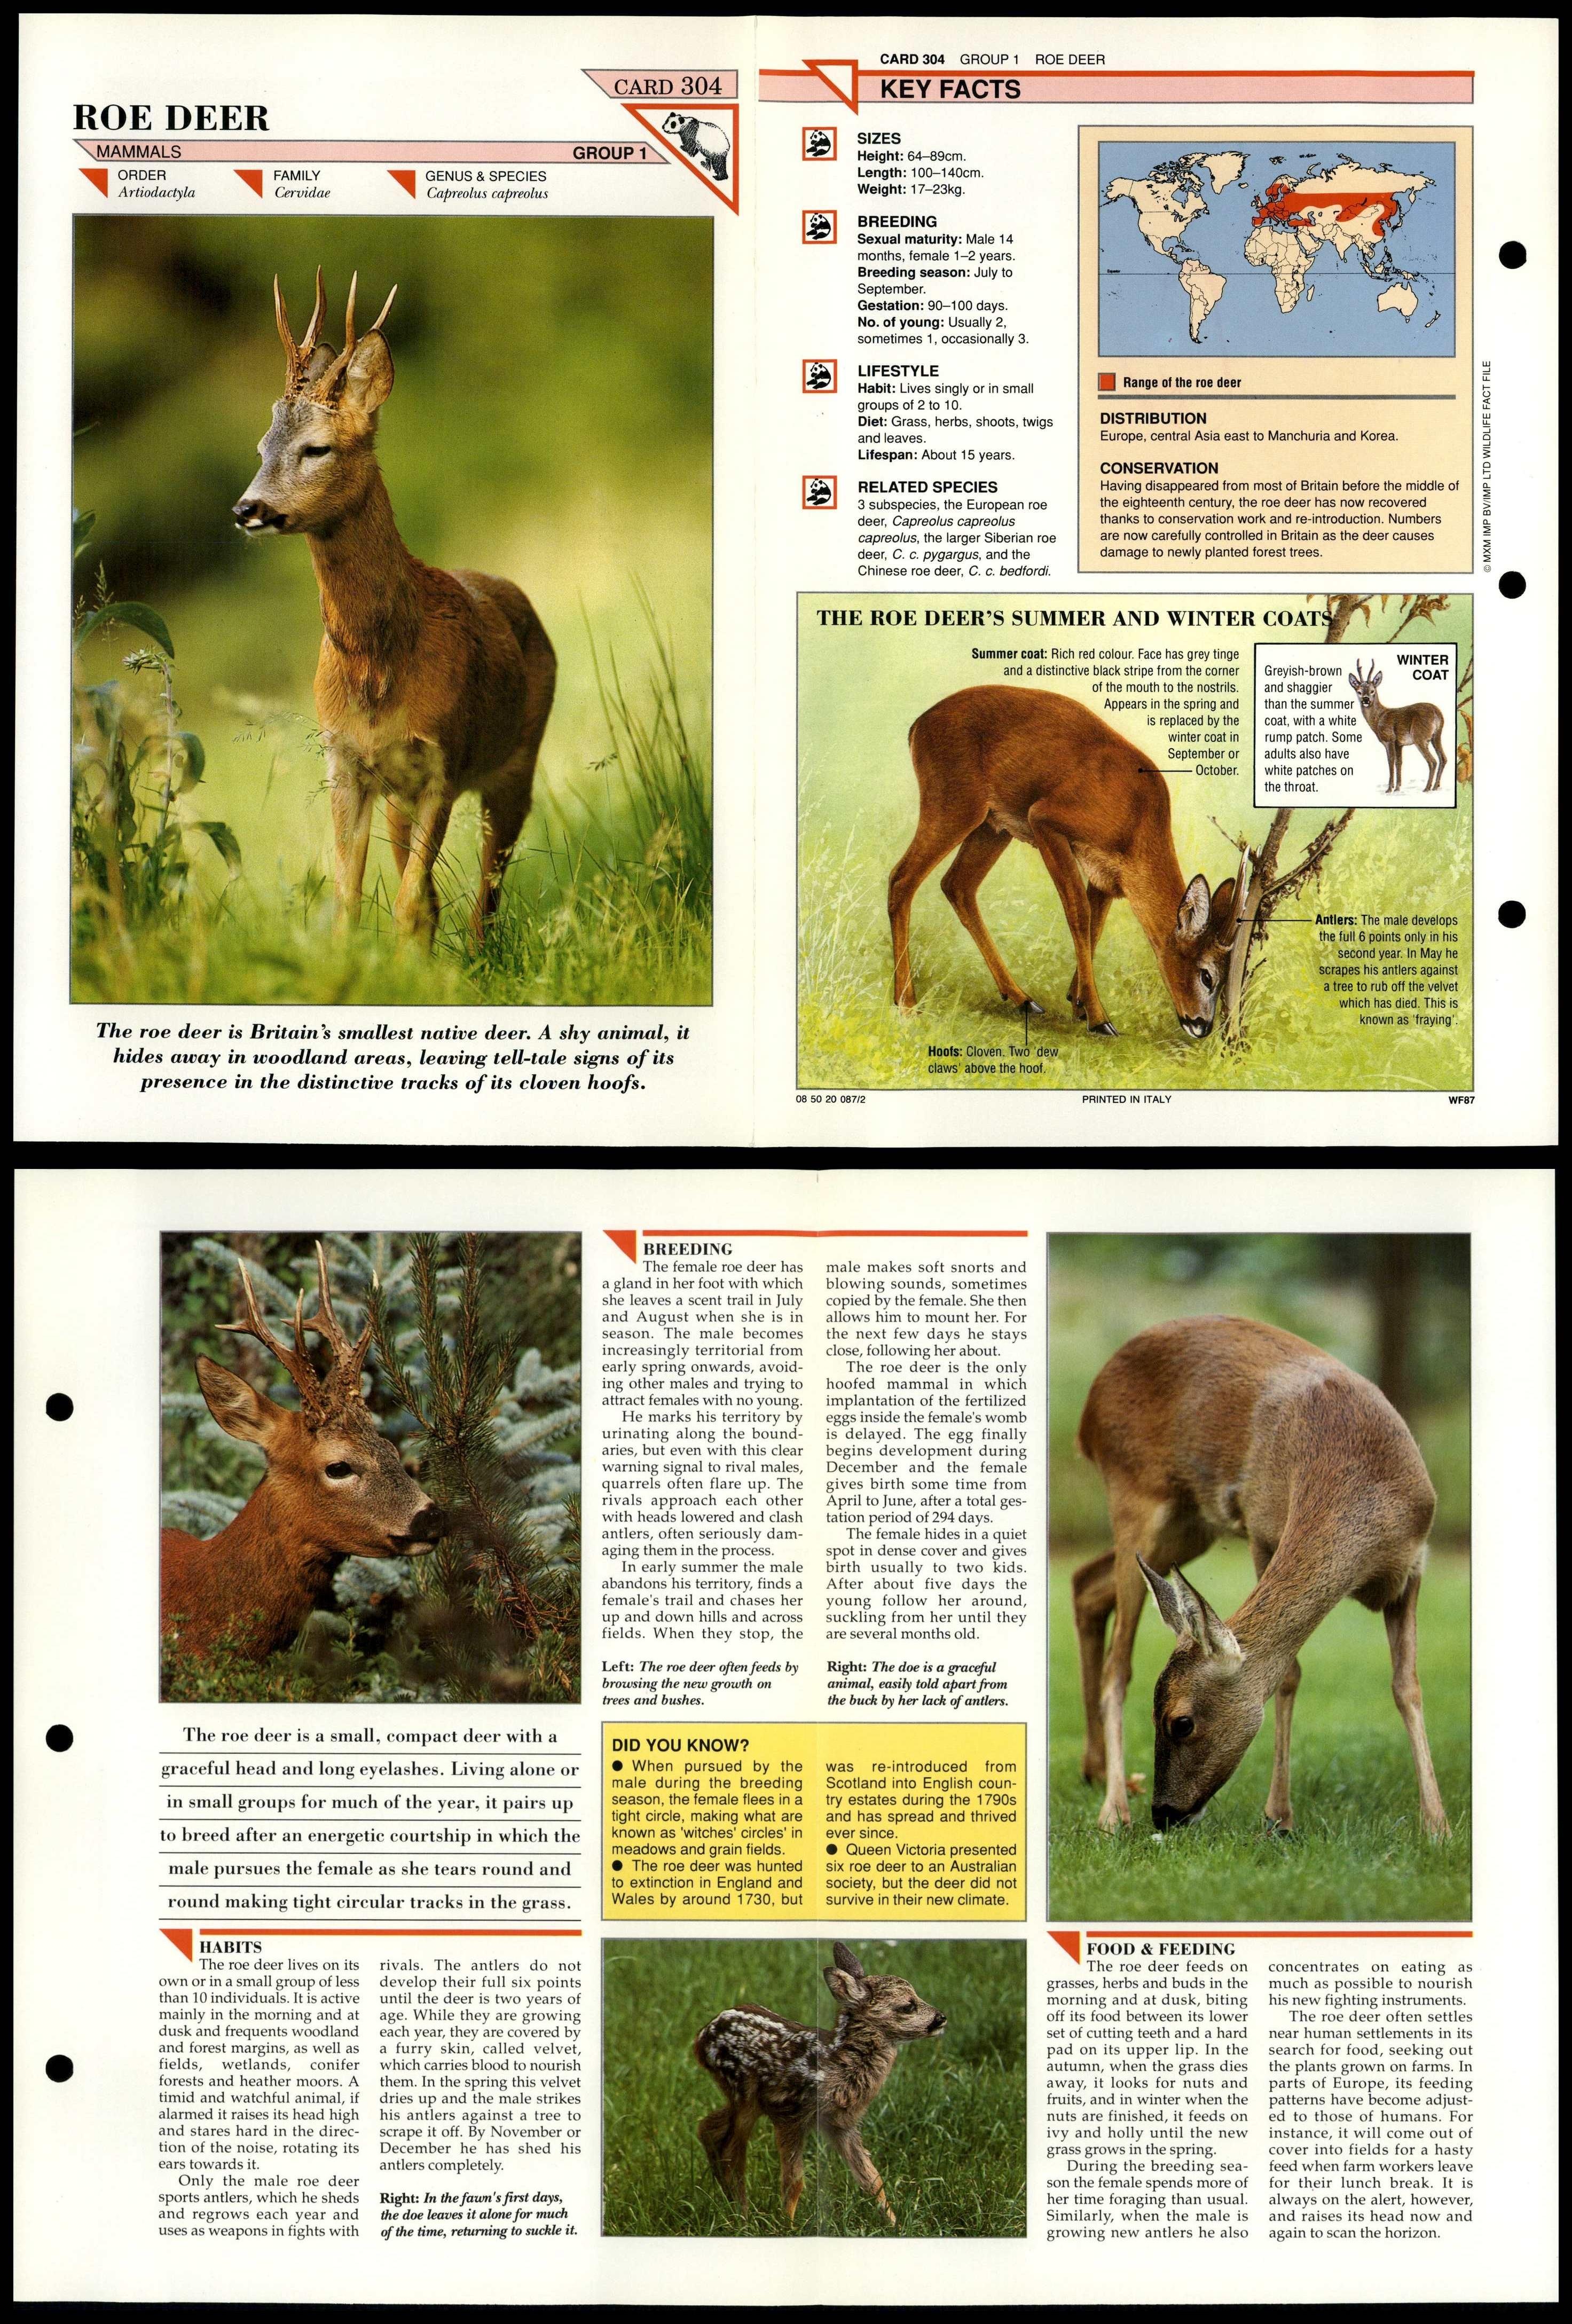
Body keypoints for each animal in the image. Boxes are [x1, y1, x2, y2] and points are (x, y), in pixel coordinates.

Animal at [233, 268, 556, 945]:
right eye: (261, 446)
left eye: (318, 448)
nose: (247, 508)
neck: (377, 667)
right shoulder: (348, 764)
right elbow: (351, 901)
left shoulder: (443, 760)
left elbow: (409, 903)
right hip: (399, 798)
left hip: (517, 761)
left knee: (487, 890)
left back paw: (478, 956)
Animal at [694, 1942, 946, 2229]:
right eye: (907, 2006)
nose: (941, 2018)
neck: (838, 2066)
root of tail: (700, 2039)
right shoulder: (789, 2113)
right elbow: (794, 2182)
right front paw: (787, 2228)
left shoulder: (843, 2124)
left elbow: (873, 2180)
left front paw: (896, 2226)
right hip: (743, 2093)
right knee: (731, 2151)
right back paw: (743, 2218)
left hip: (743, 2100)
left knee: (708, 2128)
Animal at [889, 684, 1245, 1037]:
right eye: (1207, 975)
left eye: (1227, 975)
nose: (1202, 1025)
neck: (1137, 824)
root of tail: (916, 727)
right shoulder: (1046, 820)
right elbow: (1078, 911)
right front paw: (1099, 1018)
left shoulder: (1106, 874)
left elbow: (1095, 926)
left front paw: (1079, 1003)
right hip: (955, 803)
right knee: (901, 878)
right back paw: (906, 1004)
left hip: (994, 826)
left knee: (957, 885)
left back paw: (1021, 999)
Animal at [1070, 1316, 1451, 1841]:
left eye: (1181, 1723)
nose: (1164, 1813)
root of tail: (1086, 1416)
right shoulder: (1262, 1530)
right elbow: (1289, 1673)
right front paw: (1279, 1815)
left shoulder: (1413, 1566)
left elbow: (1406, 1686)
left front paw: (1437, 1825)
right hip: (1135, 1496)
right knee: (1117, 1663)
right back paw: (1113, 1810)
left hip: (1188, 1528)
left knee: (1086, 1583)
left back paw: (1098, 1773)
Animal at [1348, 660, 1447, 793]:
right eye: (1359, 692)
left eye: (1373, 691)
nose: (1366, 700)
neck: (1379, 718)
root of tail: (1437, 714)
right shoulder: (1399, 744)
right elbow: (1399, 762)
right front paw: (1398, 788)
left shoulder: (1390, 739)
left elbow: (1391, 762)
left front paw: (1389, 789)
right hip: (1437, 736)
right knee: (1443, 758)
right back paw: (1436, 786)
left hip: (1420, 737)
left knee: (1433, 761)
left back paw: (1427, 788)